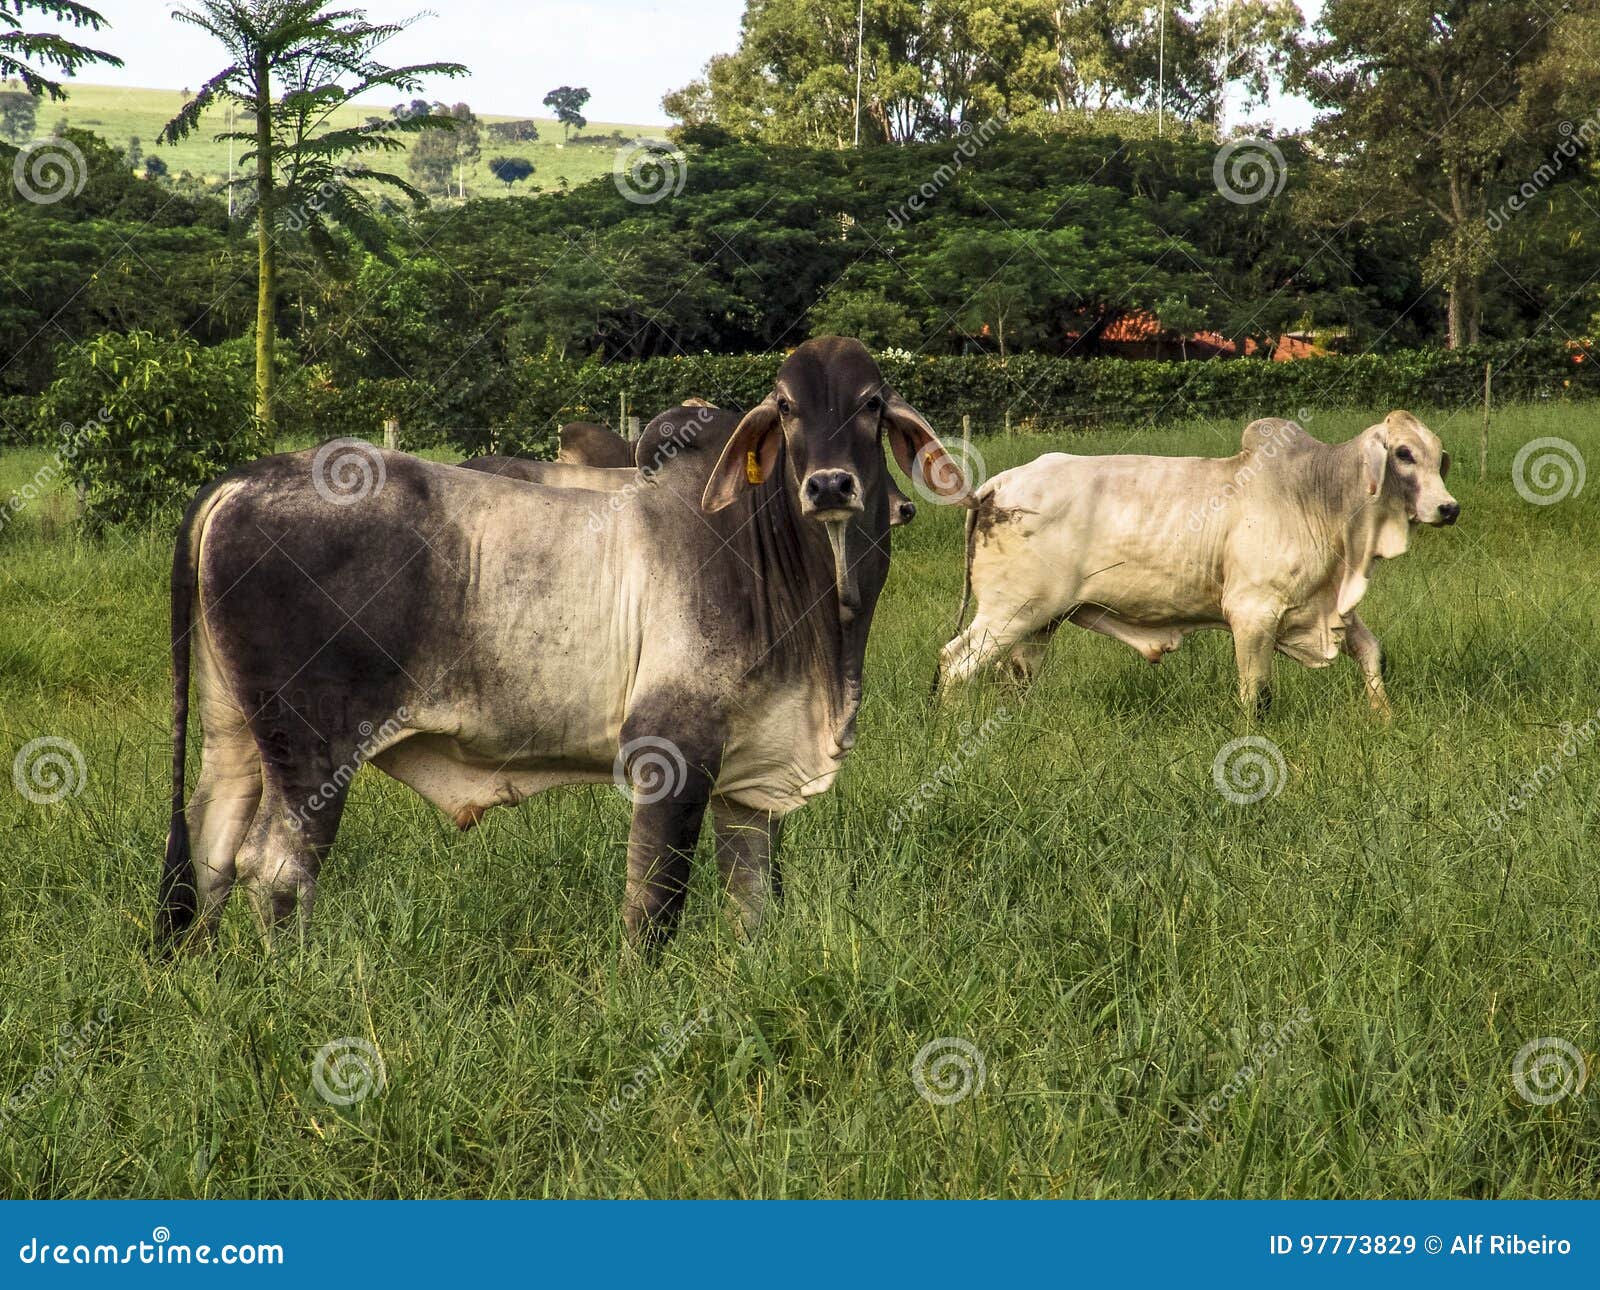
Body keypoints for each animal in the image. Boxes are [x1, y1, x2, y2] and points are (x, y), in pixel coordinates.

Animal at [157, 337, 964, 953]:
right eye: (788, 408)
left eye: (871, 403)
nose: (829, 486)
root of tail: (239, 481)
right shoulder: (670, 749)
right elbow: (654, 906)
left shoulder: (749, 774)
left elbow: (754, 902)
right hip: (313, 747)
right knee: (276, 867)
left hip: (235, 729)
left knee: (211, 845)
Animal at [936, 412, 1458, 717]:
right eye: (1404, 454)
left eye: (1439, 457)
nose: (1449, 508)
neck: (1316, 494)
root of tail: (997, 484)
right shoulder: (1253, 613)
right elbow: (1256, 693)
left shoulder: (1324, 607)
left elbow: (1372, 652)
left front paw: (1382, 717)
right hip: (1009, 612)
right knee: (955, 663)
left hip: (1039, 623)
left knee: (1015, 677)